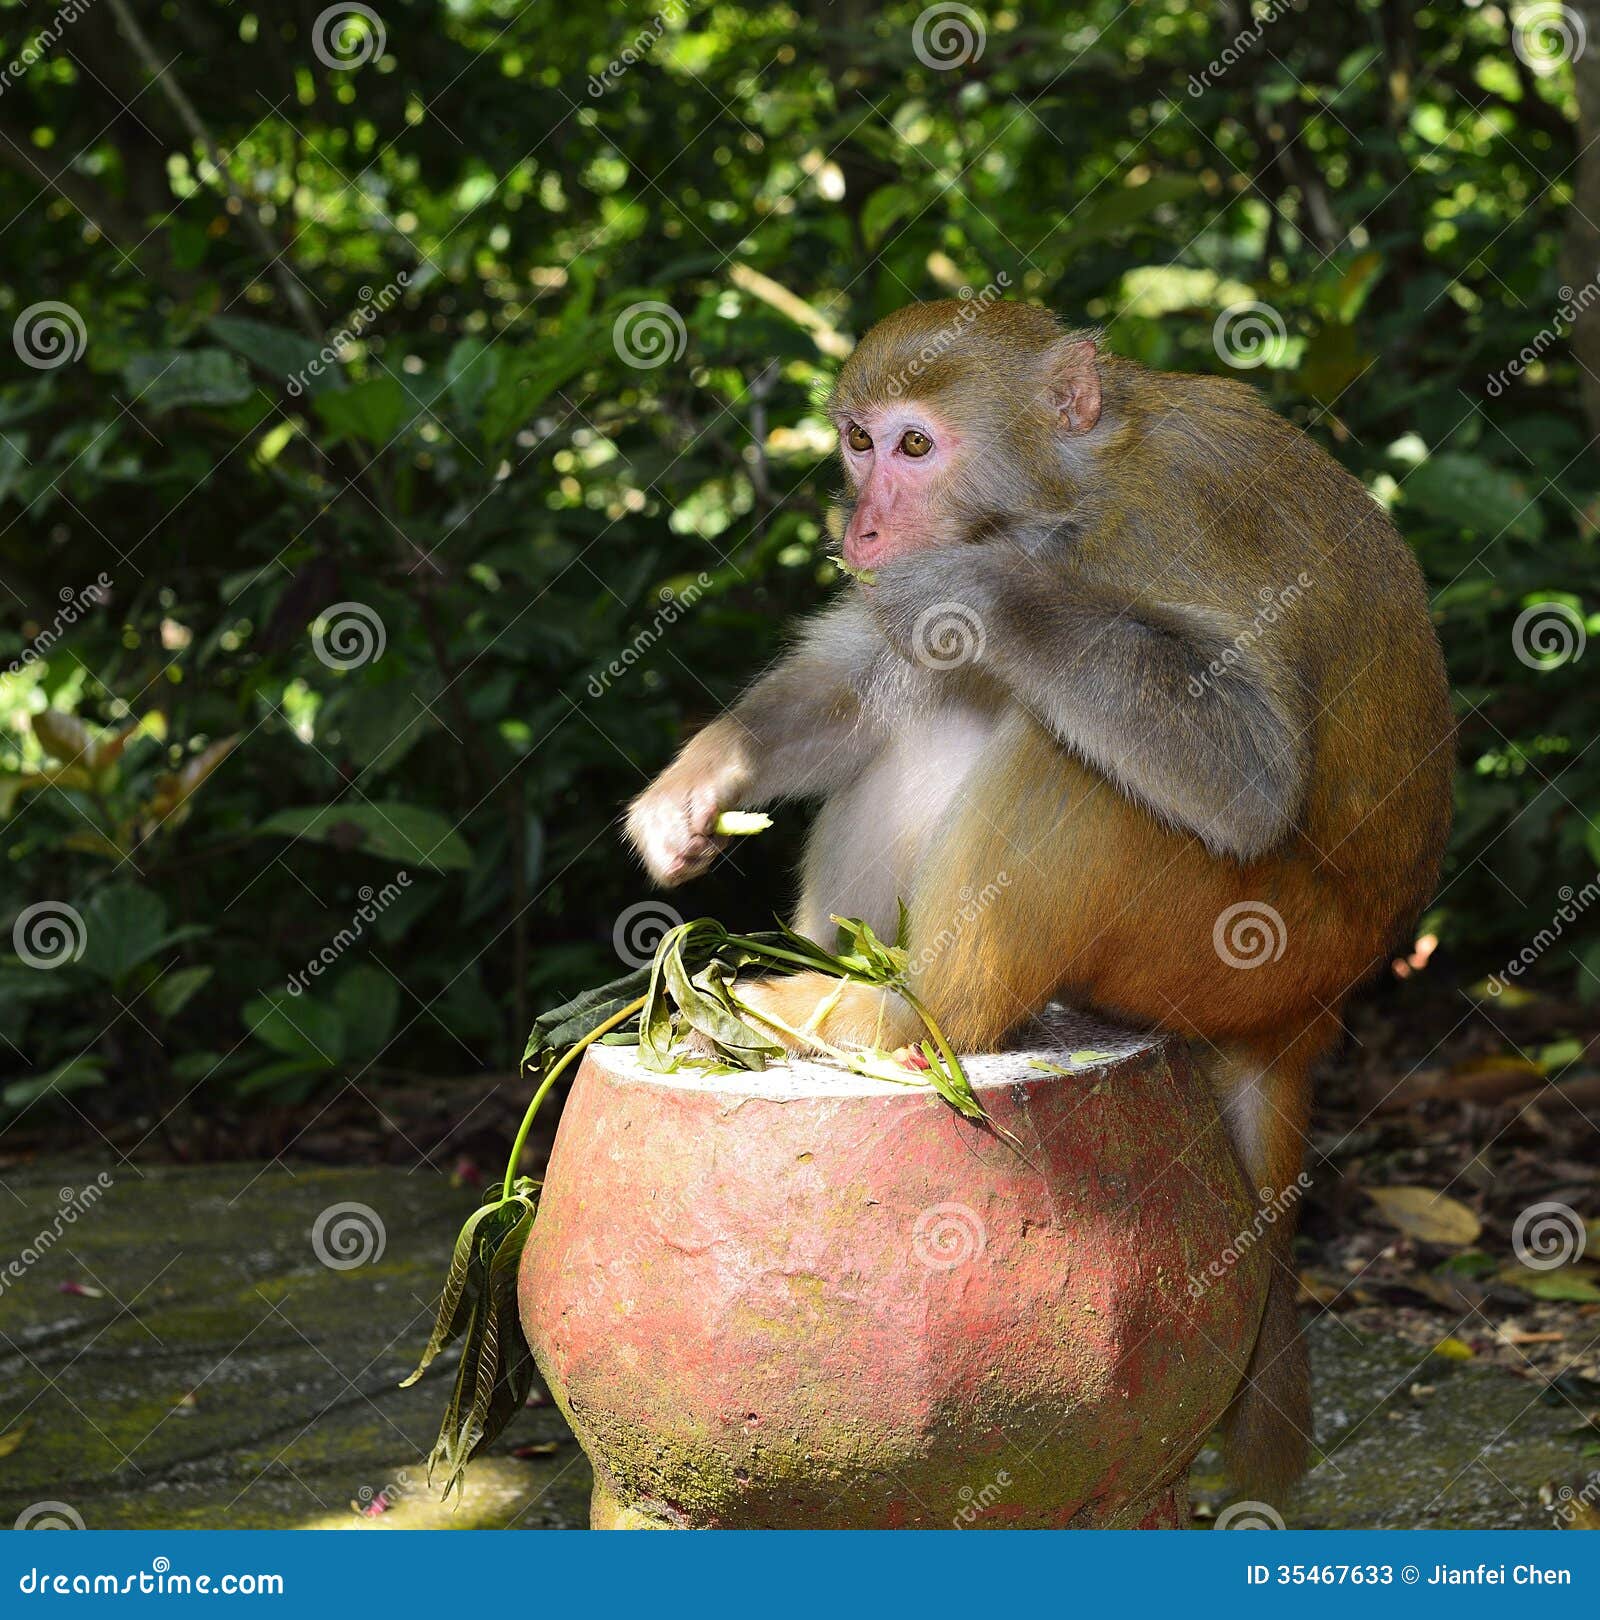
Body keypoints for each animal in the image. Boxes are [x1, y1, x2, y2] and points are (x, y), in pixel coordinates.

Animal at [625, 298, 1454, 1499]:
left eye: (916, 446)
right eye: (858, 442)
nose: (864, 528)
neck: (1068, 499)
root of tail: (1314, 1016)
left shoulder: (1180, 524)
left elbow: (1244, 775)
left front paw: (981, 594)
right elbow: (867, 682)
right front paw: (699, 782)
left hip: (1248, 945)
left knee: (1077, 757)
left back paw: (905, 1017)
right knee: (943, 706)